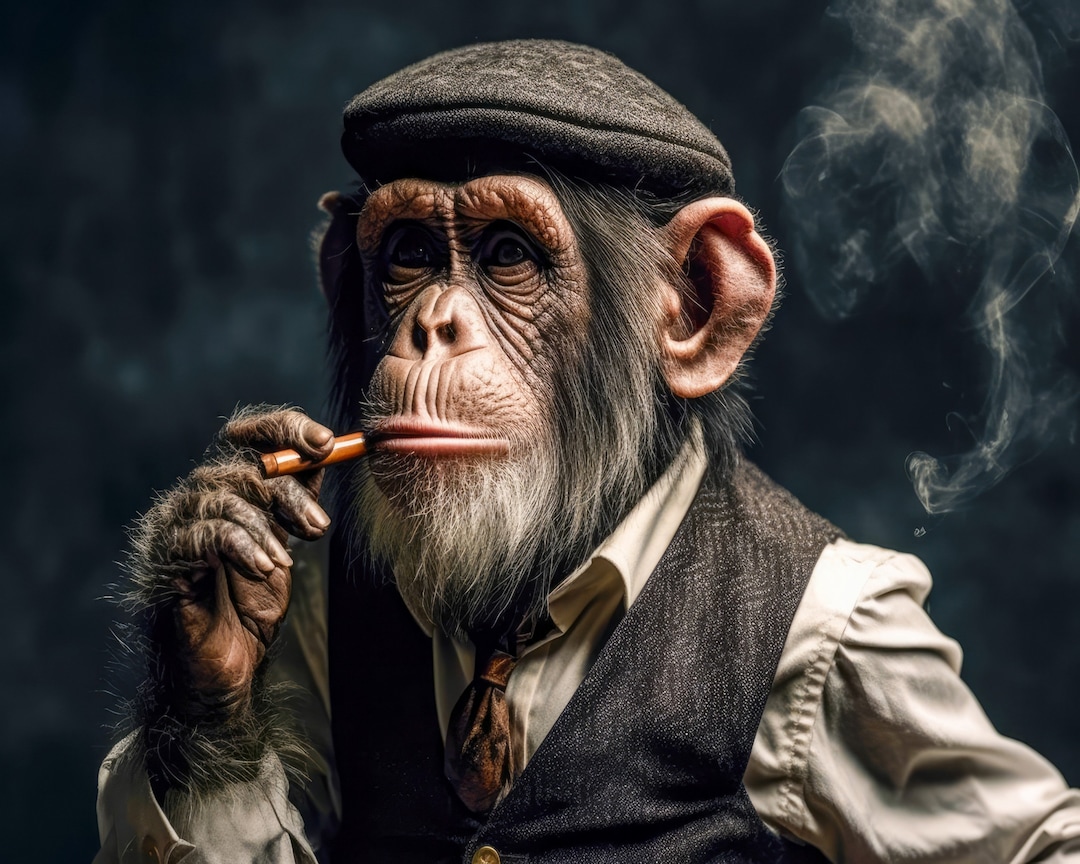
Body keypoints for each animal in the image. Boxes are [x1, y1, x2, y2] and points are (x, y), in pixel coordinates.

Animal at [96, 40, 1080, 864]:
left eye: (506, 254)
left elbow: (1035, 830)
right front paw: (211, 569)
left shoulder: (867, 633)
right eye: (409, 253)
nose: (430, 328)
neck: (541, 577)